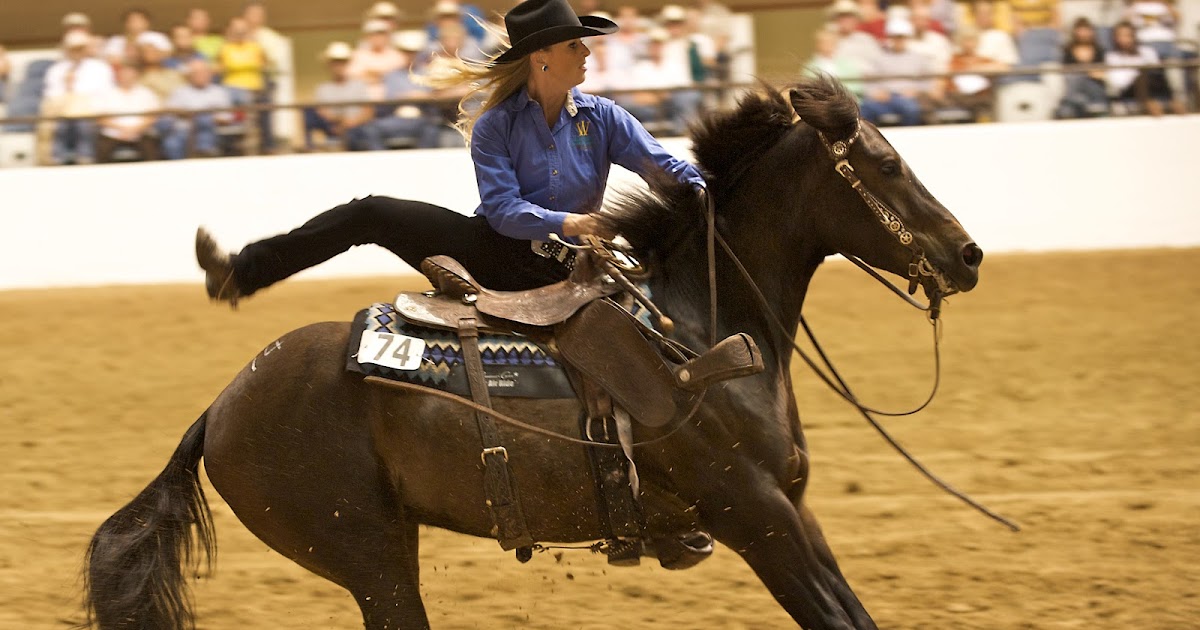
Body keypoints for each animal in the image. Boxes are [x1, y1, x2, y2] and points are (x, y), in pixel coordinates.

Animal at [82, 76, 982, 630]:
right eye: (886, 164)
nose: (967, 255)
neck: (700, 330)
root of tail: (220, 408)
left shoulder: (793, 511)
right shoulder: (754, 514)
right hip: (370, 557)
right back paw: (226, 267)